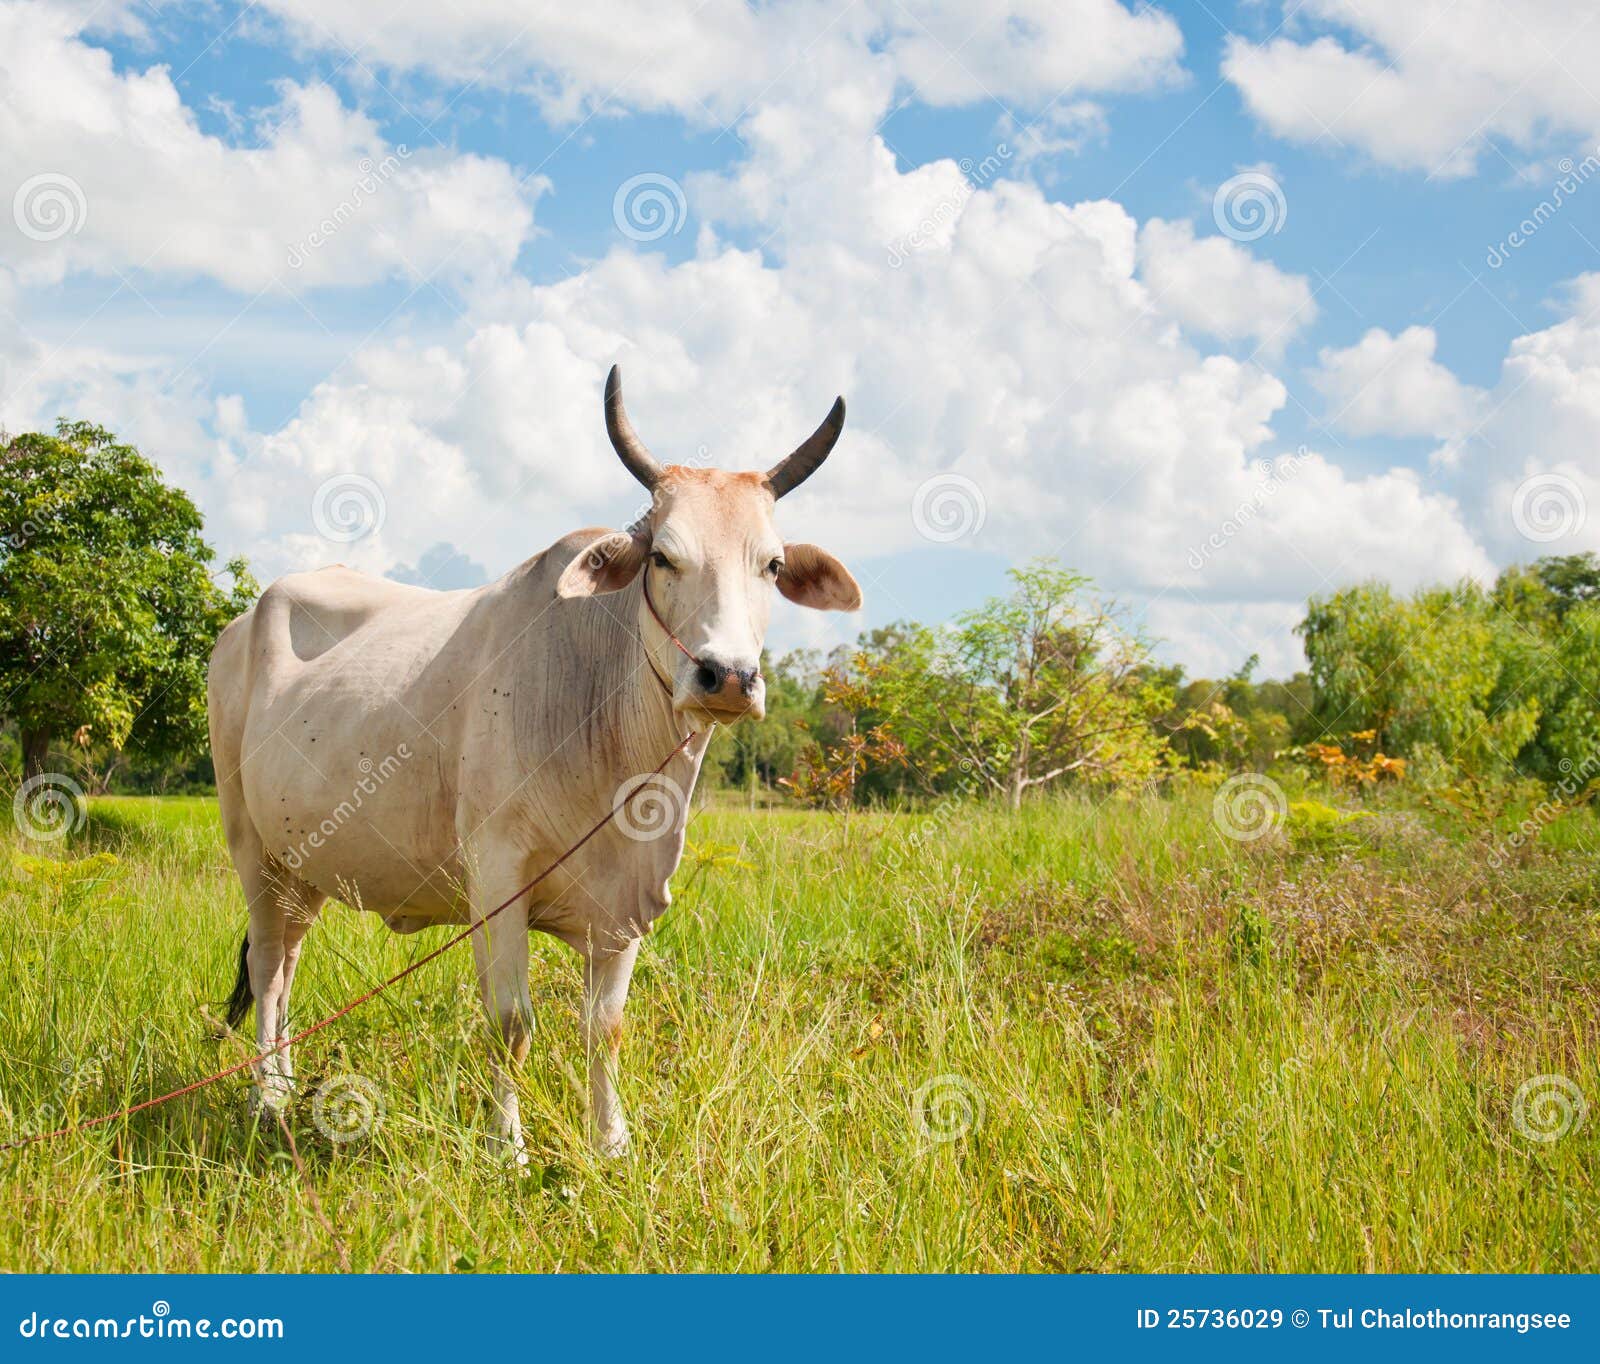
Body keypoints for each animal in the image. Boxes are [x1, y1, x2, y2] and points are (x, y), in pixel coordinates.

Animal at [208, 367, 860, 1160]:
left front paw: (612, 1143)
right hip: (251, 848)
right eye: (664, 557)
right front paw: (507, 1147)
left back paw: (286, 1084)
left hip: (303, 866)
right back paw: (266, 1099)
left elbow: (605, 1028)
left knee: (288, 964)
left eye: (771, 564)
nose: (728, 677)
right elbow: (511, 1022)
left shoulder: (623, 904)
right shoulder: (497, 874)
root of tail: (240, 623)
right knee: (268, 969)